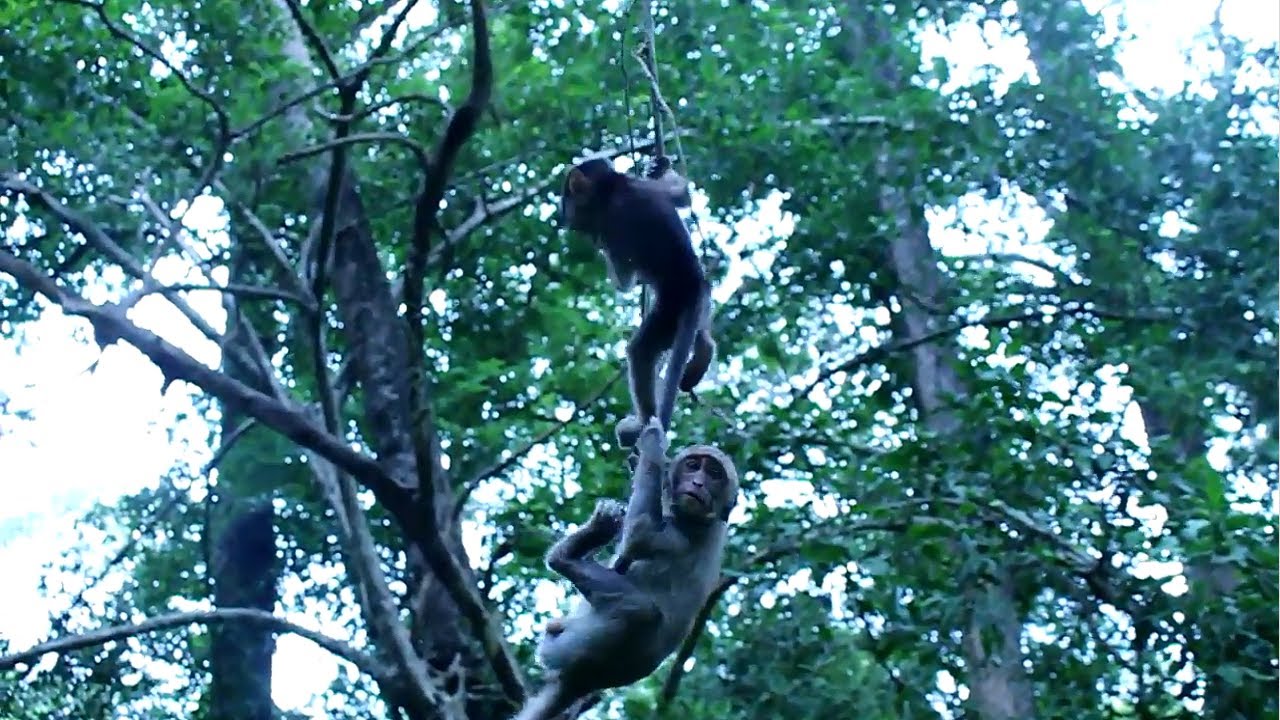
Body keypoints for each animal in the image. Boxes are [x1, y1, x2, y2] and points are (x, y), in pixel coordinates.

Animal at [513, 418, 739, 720]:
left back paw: (569, 552)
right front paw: (640, 452)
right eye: (693, 466)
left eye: (714, 473)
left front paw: (653, 440)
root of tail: (582, 682)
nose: (698, 482)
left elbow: (640, 531)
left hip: (577, 648)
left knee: (642, 612)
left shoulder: (680, 537)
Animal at [559, 156, 717, 450]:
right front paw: (660, 168)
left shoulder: (615, 226)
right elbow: (681, 195)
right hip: (703, 304)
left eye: (568, 201)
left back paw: (642, 426)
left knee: (641, 351)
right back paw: (702, 355)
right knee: (703, 333)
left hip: (669, 310)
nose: (567, 218)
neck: (615, 187)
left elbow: (624, 281)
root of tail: (695, 283)